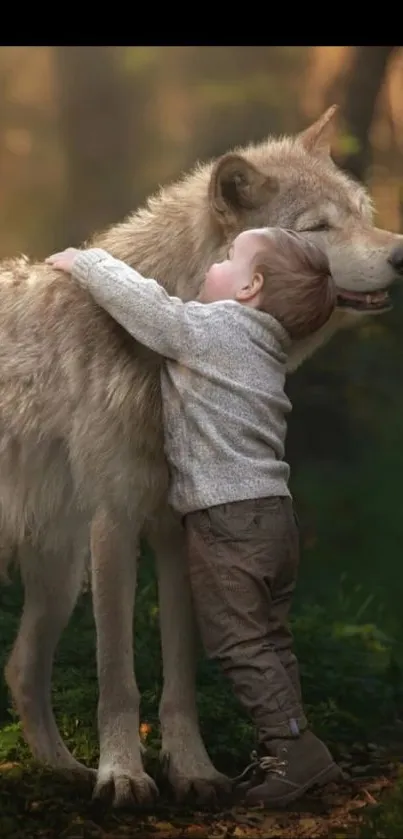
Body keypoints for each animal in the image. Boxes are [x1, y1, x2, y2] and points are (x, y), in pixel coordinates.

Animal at [1, 105, 402, 809]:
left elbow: (180, 678)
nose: (402, 251)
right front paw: (124, 776)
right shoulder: (116, 524)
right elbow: (119, 678)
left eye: (360, 213)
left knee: (20, 666)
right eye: (319, 228)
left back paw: (63, 772)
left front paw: (191, 771)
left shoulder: (177, 529)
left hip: (58, 571)